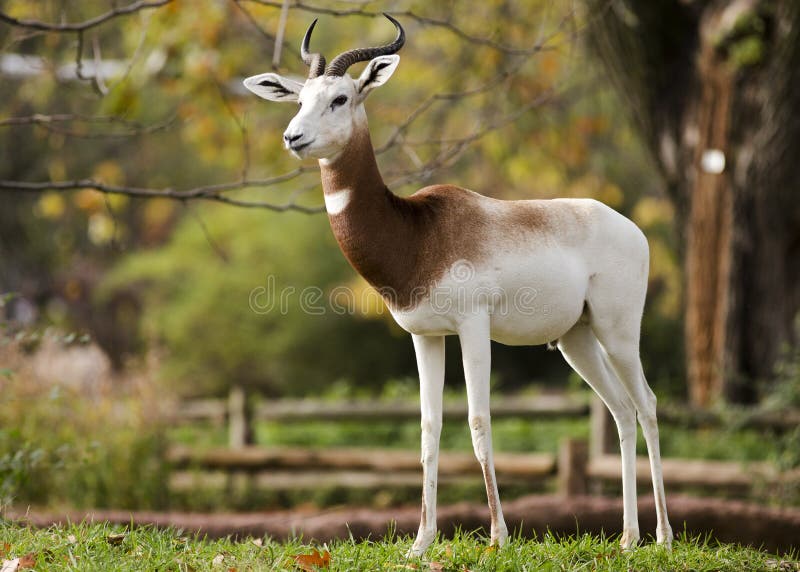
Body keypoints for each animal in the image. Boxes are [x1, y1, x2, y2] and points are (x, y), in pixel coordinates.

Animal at [243, 15, 672, 555]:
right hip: (576, 339)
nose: (292, 136)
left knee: (648, 405)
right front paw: (420, 542)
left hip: (618, 332)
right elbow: (429, 430)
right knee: (621, 411)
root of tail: (632, 228)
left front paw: (498, 537)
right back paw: (628, 538)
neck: (418, 233)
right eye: (298, 99)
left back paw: (664, 538)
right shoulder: (425, 336)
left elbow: (478, 420)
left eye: (340, 98)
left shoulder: (473, 326)